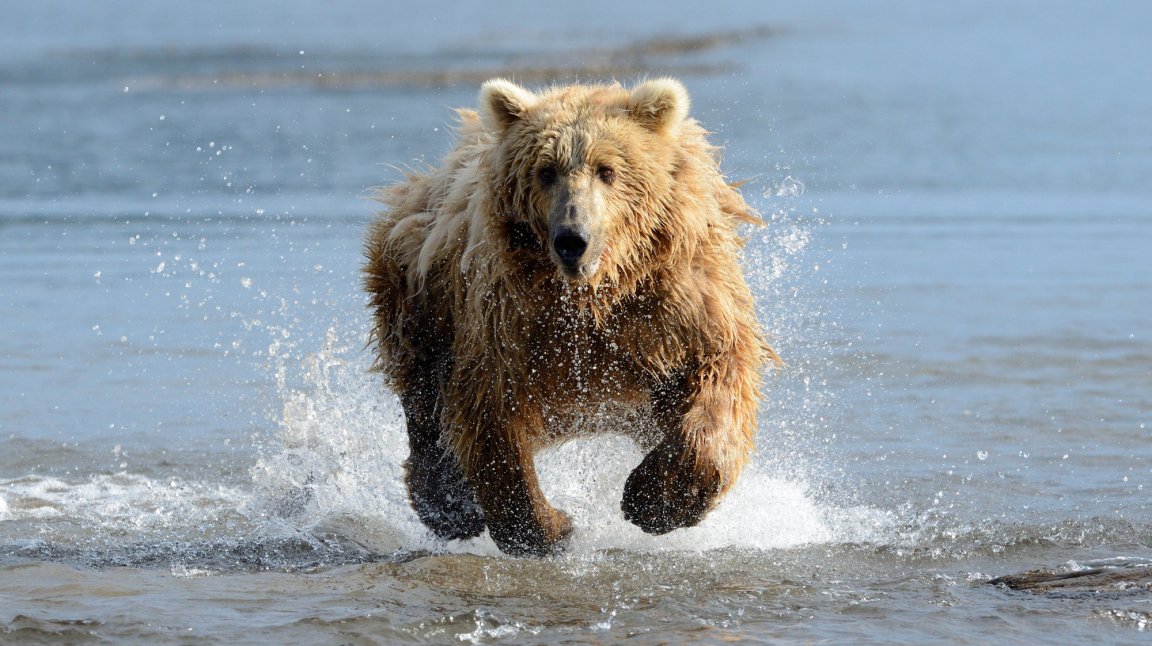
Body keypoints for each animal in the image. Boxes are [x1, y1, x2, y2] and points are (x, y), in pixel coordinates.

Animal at [364, 78, 776, 556]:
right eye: (546, 171)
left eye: (607, 170)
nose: (572, 239)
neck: (593, 293)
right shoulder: (512, 322)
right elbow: (492, 413)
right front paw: (551, 526)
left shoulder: (676, 304)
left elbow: (719, 374)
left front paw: (655, 499)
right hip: (420, 296)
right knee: (426, 399)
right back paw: (451, 506)